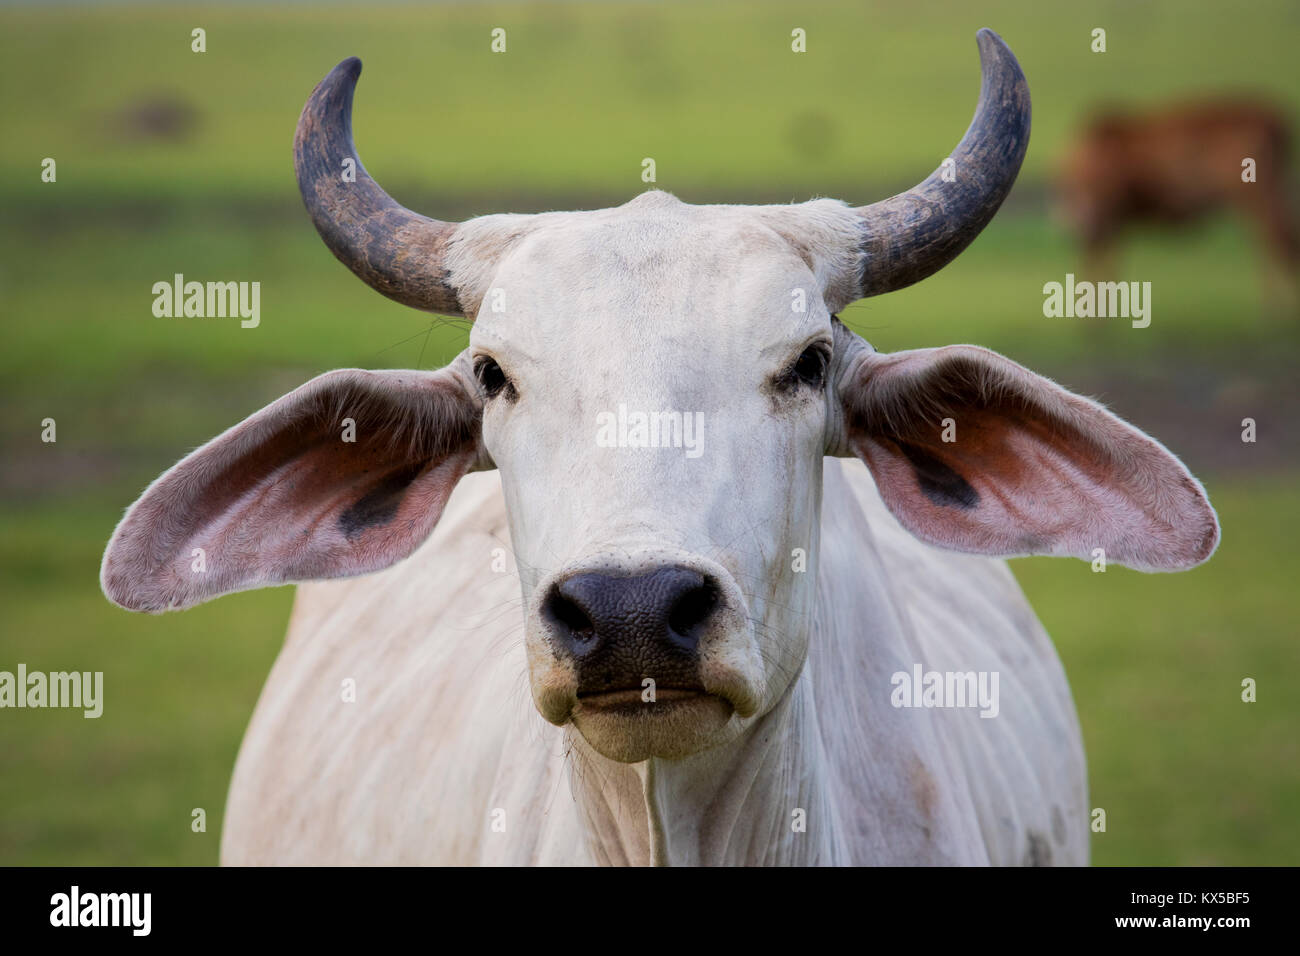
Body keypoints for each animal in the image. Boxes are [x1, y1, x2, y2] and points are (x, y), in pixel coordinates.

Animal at [1055, 98, 1299, 298]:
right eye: (1072, 191)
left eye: (1095, 183)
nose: (1082, 220)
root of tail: (1276, 120)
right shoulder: (1108, 226)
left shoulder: (1109, 221)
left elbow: (1100, 272)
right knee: (1276, 247)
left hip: (1260, 201)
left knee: (1279, 245)